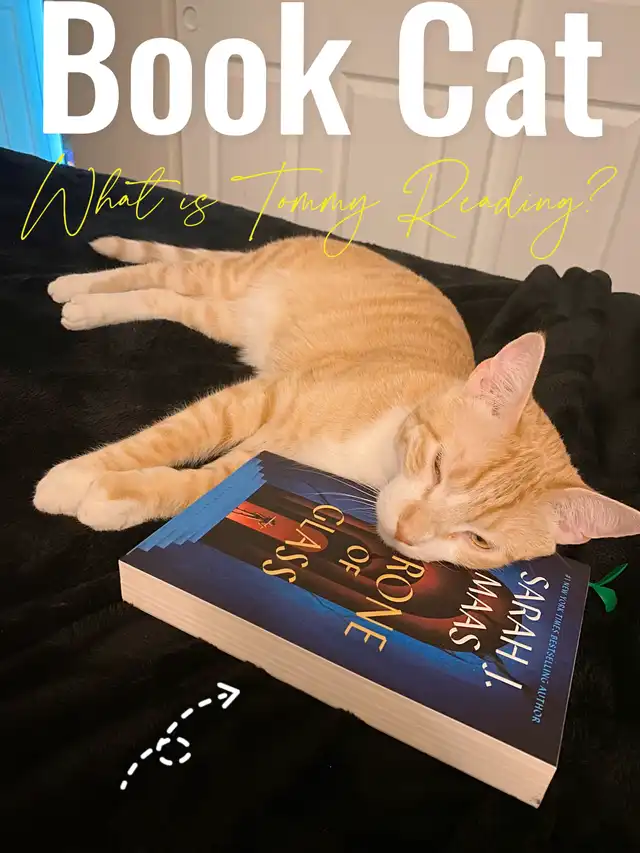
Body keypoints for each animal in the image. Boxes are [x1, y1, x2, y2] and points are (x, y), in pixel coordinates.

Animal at [34, 234, 640, 570]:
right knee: (164, 270)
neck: (376, 455)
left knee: (167, 296)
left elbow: (198, 486)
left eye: (479, 540)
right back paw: (75, 289)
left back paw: (85, 306)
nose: (408, 532)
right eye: (439, 466)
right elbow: (166, 438)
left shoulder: (259, 457)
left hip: (225, 316)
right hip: (230, 279)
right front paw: (71, 479)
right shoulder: (257, 400)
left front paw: (116, 496)